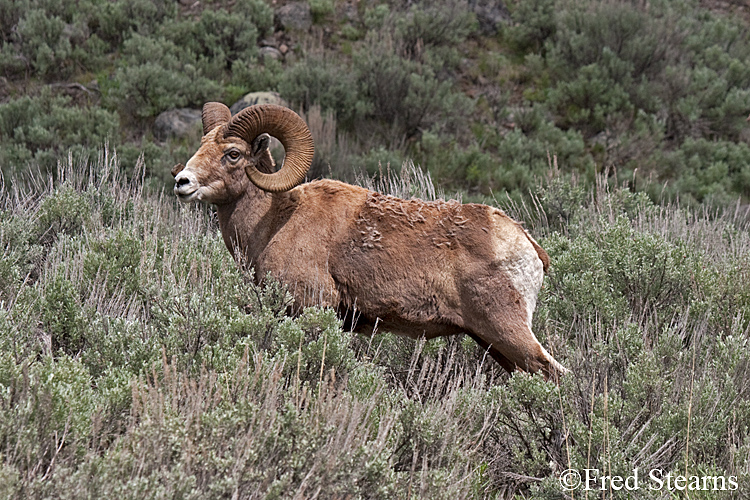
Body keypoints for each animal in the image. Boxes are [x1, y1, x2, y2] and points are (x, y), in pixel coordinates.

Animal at [172, 102, 567, 381]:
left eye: (233, 154)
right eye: (201, 146)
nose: (182, 182)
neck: (274, 221)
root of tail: (526, 243)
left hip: (507, 332)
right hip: (492, 343)